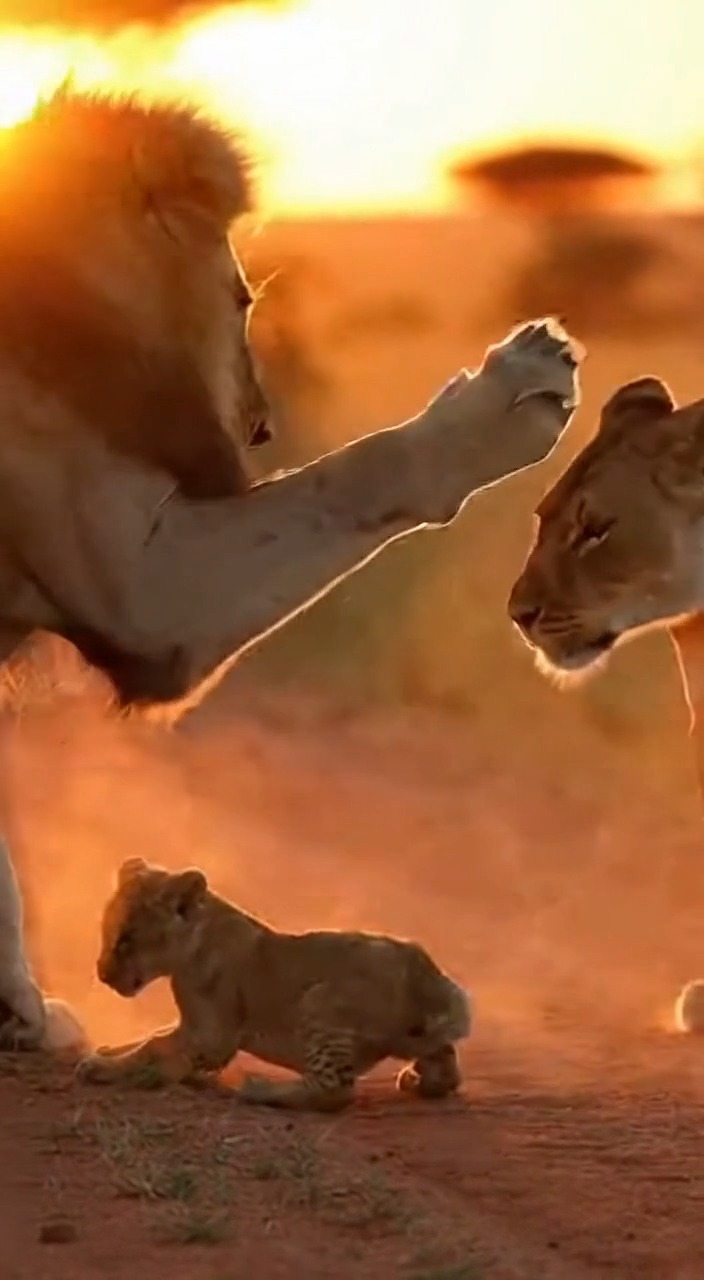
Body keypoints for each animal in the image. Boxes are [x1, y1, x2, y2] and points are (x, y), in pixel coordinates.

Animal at [75, 857, 471, 1111]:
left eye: (126, 939)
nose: (102, 975)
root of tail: (423, 970)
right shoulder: (196, 1027)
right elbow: (152, 1036)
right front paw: (109, 1051)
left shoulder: (213, 1035)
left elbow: (154, 1046)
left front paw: (102, 1068)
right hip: (420, 1033)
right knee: (447, 1068)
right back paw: (419, 1079)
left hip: (319, 1002)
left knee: (336, 1092)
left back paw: (259, 1089)